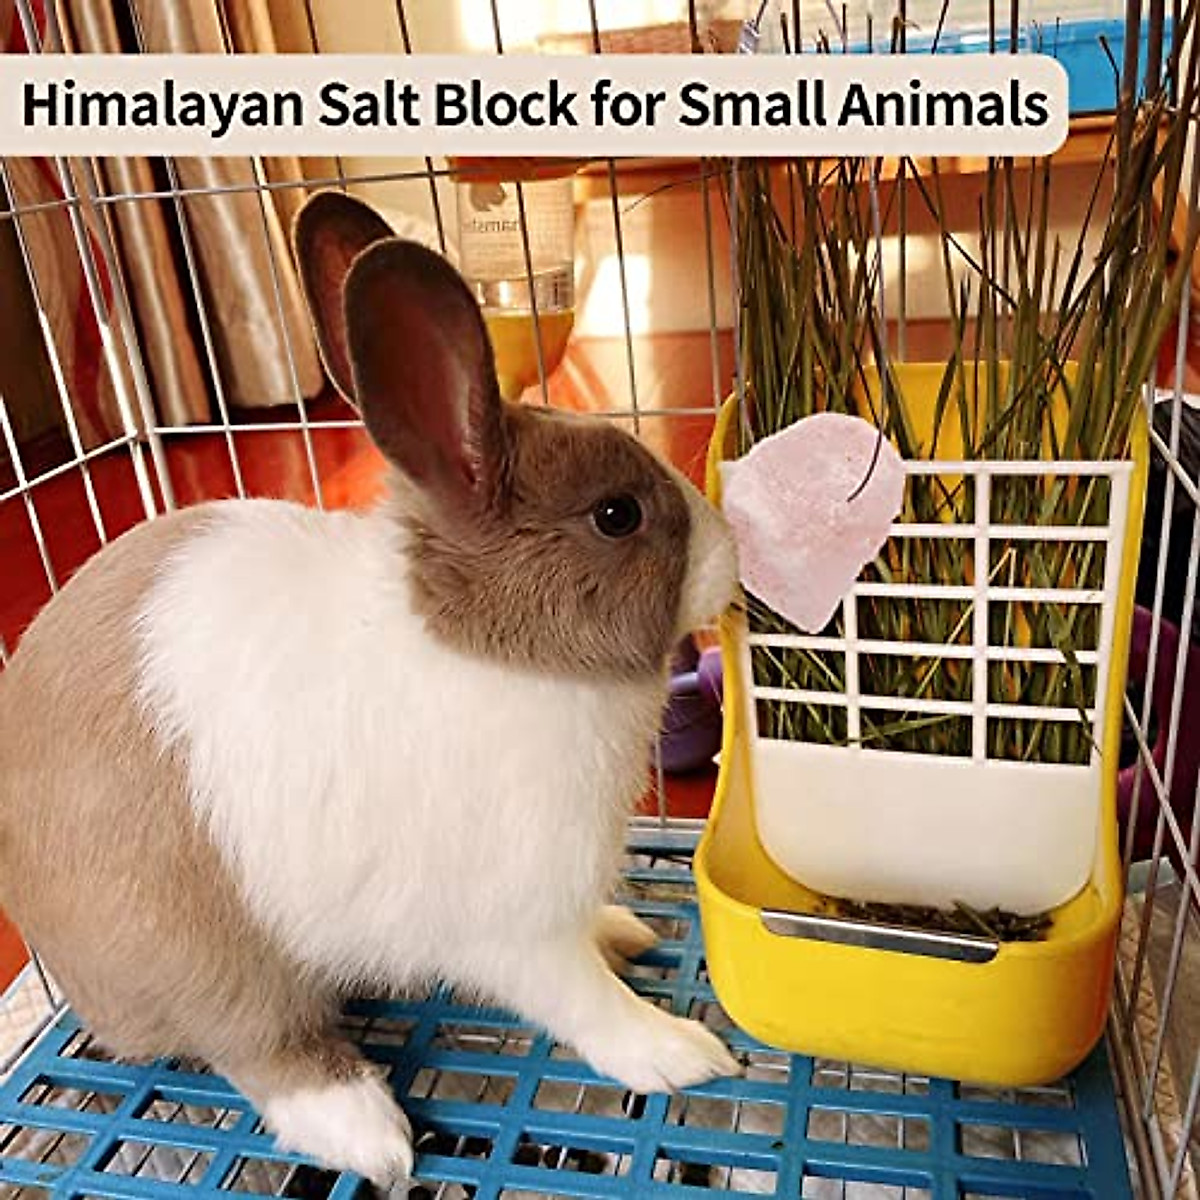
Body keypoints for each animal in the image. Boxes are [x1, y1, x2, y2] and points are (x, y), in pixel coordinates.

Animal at [0, 191, 740, 1189]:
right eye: (616, 515)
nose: (732, 555)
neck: (493, 652)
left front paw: (621, 932)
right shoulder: (516, 927)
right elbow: (584, 1002)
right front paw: (676, 1052)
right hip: (197, 943)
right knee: (259, 1045)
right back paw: (368, 1133)